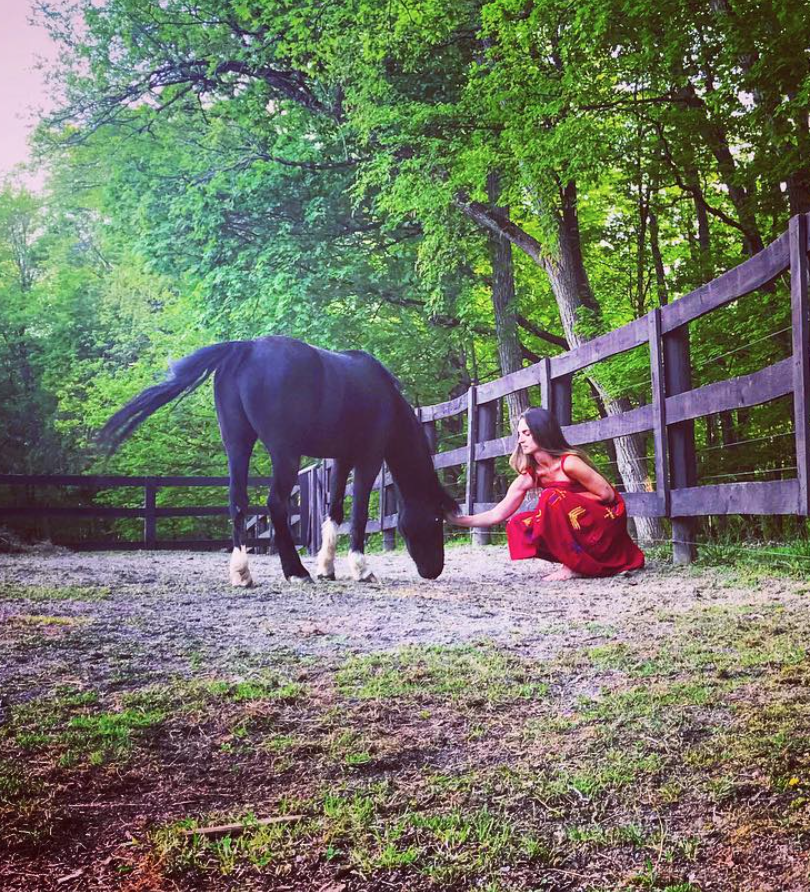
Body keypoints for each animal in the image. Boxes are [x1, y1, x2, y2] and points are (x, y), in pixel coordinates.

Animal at [99, 336, 458, 585]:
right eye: (436, 519)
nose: (433, 570)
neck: (386, 399)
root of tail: (245, 348)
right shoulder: (367, 459)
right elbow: (356, 513)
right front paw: (360, 569)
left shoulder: (341, 458)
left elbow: (335, 511)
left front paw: (327, 568)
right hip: (285, 453)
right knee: (275, 503)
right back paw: (295, 571)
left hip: (238, 446)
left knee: (238, 503)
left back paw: (242, 574)